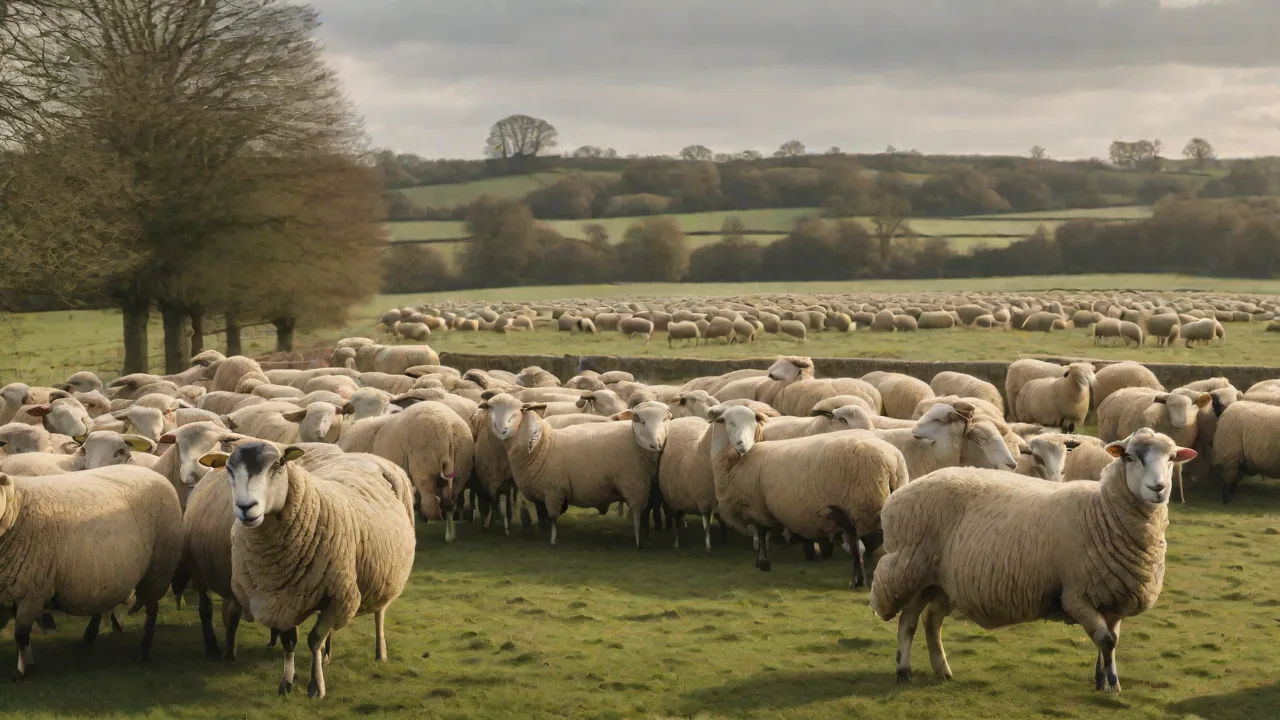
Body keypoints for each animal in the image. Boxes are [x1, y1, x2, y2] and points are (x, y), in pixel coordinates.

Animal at [0, 465, 184, 680]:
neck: (15, 507)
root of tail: (153, 473)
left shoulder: (33, 591)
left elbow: (21, 635)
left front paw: (22, 672)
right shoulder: (14, 589)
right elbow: (21, 637)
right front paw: (26, 664)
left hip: (159, 567)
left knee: (152, 610)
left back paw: (143, 651)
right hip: (107, 575)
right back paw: (87, 639)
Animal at [221, 443, 416, 698]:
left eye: (279, 464)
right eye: (228, 469)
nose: (246, 507)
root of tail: (366, 456)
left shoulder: (340, 596)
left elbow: (313, 639)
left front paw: (316, 686)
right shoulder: (282, 600)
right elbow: (289, 642)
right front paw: (286, 682)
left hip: (384, 574)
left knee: (379, 613)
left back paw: (380, 652)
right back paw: (327, 655)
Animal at [481, 396, 671, 548]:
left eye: (517, 413)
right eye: (491, 410)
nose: (503, 431)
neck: (545, 445)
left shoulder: (553, 491)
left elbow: (552, 518)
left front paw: (552, 540)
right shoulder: (544, 492)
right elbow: (544, 515)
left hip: (635, 484)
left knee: (639, 512)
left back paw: (639, 540)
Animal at [709, 405, 909, 587]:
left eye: (753, 422)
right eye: (729, 422)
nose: (742, 445)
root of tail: (892, 463)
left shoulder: (758, 505)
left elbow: (762, 531)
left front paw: (763, 562)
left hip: (858, 506)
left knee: (861, 543)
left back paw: (859, 579)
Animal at [870, 428, 1195, 689]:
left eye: (1171, 458)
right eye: (1129, 457)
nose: (1158, 488)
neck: (1101, 509)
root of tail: (900, 493)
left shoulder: (1112, 597)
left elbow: (1110, 643)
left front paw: (1102, 679)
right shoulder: (1076, 595)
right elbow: (1106, 640)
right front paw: (1113, 685)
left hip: (940, 581)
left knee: (930, 620)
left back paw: (942, 670)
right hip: (909, 569)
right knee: (908, 621)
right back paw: (903, 671)